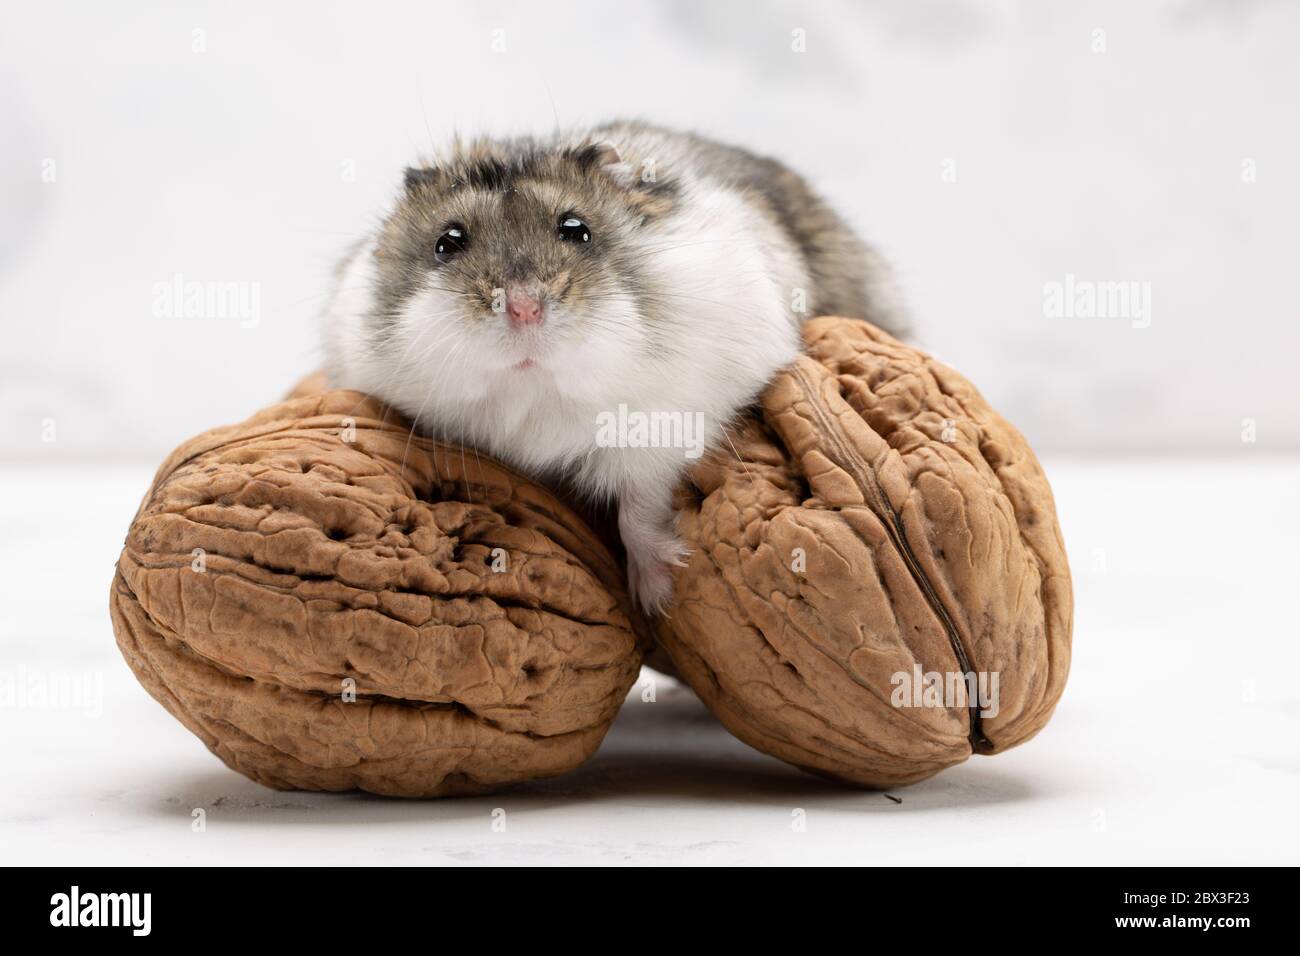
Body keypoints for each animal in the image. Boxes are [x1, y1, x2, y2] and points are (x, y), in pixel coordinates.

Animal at [323, 120, 904, 612]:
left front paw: (659, 596)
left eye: (576, 229)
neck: (537, 394)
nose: (523, 308)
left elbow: (639, 506)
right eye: (447, 242)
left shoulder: (665, 425)